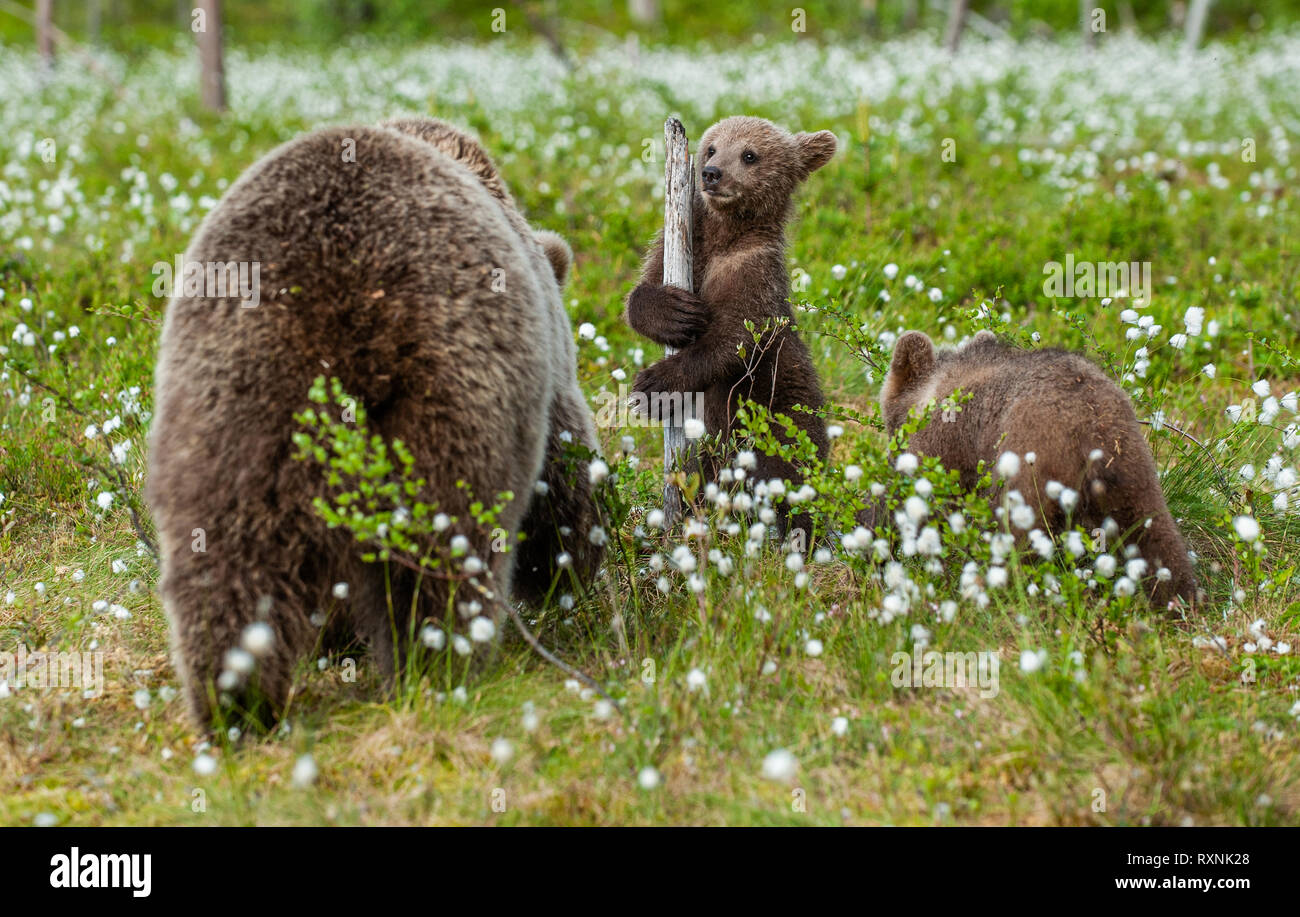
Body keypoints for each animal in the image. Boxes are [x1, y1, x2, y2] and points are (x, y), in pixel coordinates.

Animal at [146, 117, 603, 729]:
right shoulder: (543, 379)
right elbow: (564, 474)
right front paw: (572, 572)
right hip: (449, 396)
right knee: (439, 557)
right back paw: (437, 670)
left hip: (228, 407)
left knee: (225, 567)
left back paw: (235, 705)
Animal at [625, 116, 836, 545]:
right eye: (711, 147)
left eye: (749, 154)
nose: (711, 173)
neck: (726, 235)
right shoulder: (687, 246)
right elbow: (644, 288)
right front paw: (674, 312)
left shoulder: (752, 275)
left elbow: (732, 340)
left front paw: (653, 386)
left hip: (783, 418)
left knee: (790, 476)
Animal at [878, 329, 1198, 609]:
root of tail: (1090, 428)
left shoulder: (944, 448)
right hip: (1132, 465)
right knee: (1154, 532)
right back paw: (1179, 598)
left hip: (1028, 461)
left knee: (1015, 531)